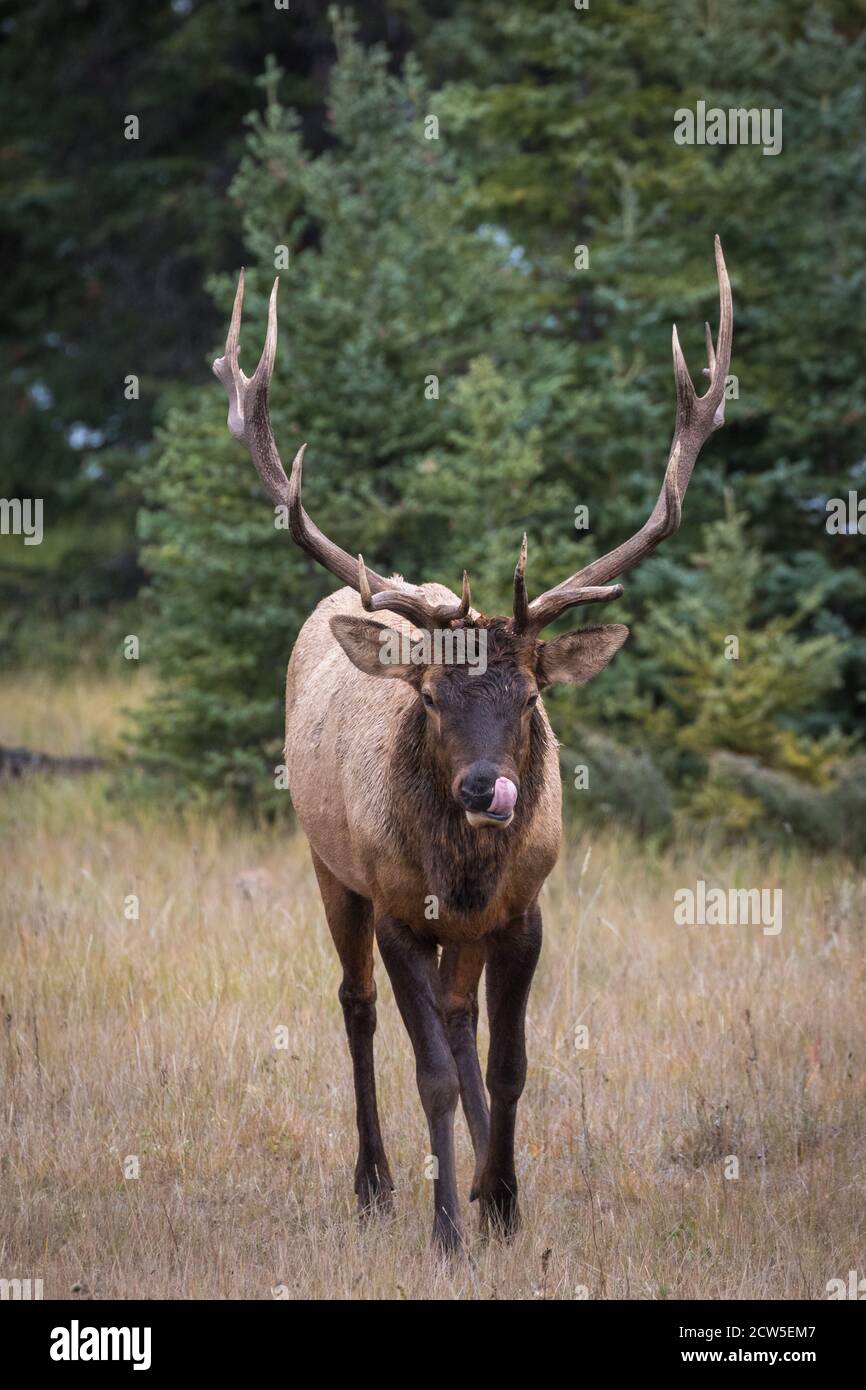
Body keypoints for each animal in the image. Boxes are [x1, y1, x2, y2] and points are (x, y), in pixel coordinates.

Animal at [213, 238, 733, 1251]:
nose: (486, 789)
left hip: (464, 930)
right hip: (330, 868)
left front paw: (506, 1204)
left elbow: (507, 1063)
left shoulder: (524, 910)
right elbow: (433, 1077)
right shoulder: (399, 910)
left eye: (531, 695)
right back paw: (375, 1184)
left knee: (459, 1023)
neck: (461, 875)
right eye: (428, 696)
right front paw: (450, 1229)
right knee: (357, 1008)